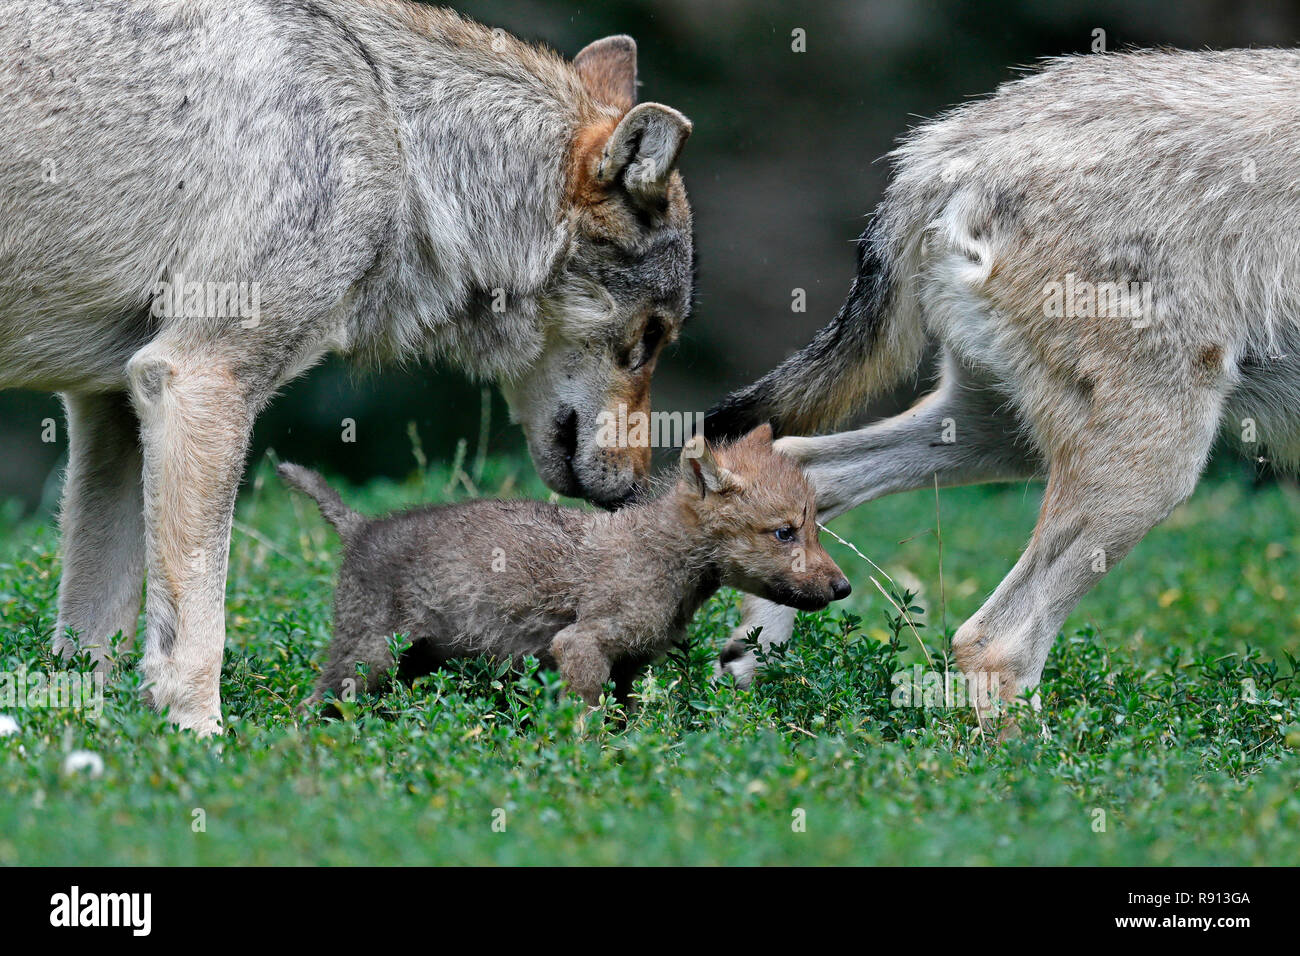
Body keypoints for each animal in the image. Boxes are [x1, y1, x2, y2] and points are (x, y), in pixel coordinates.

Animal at [0, 0, 694, 734]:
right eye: (652, 337)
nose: (634, 490)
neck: (399, 141)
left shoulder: (113, 405)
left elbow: (91, 640)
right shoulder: (201, 379)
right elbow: (199, 628)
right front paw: (200, 736)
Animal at [279, 425, 850, 709]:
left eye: (815, 528)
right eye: (785, 532)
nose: (843, 587)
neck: (664, 558)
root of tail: (360, 527)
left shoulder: (630, 665)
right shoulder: (579, 645)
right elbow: (588, 724)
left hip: (413, 662)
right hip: (367, 660)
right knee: (307, 709)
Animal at [706, 49, 1300, 717]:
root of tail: (948, 148)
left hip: (997, 436)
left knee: (802, 465)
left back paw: (754, 684)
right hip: (1153, 467)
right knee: (994, 640)